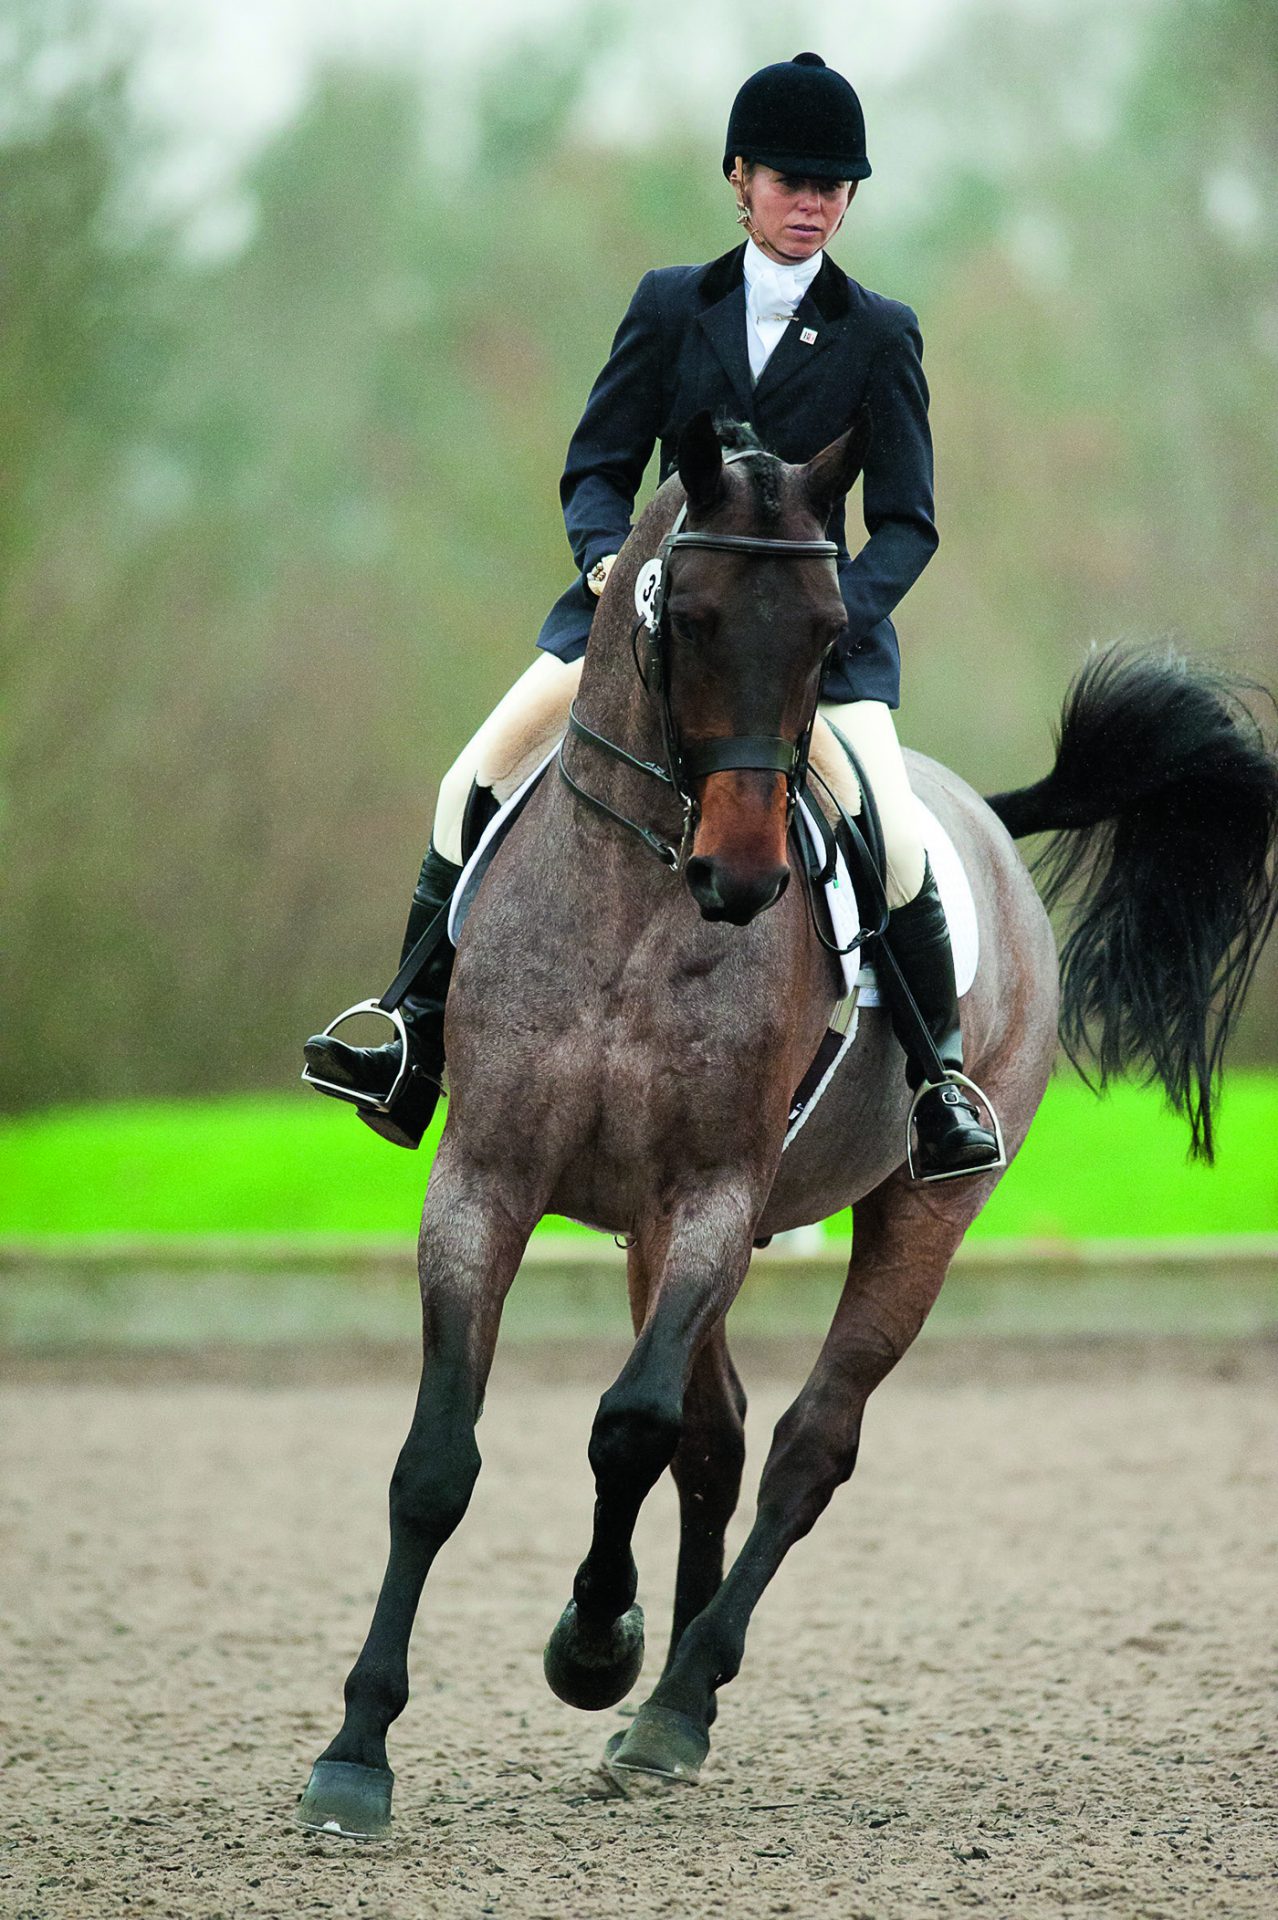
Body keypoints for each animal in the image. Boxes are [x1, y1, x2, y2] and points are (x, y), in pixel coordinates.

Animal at [295, 411, 1278, 1836]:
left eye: (828, 631)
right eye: (692, 616)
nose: (745, 879)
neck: (641, 898)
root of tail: (983, 821)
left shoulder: (711, 1191)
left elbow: (628, 1427)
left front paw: (595, 1647)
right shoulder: (488, 1179)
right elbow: (441, 1459)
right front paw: (357, 1752)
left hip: (919, 1209)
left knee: (807, 1444)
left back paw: (677, 1696)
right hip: (667, 1231)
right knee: (719, 1432)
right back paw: (665, 1683)